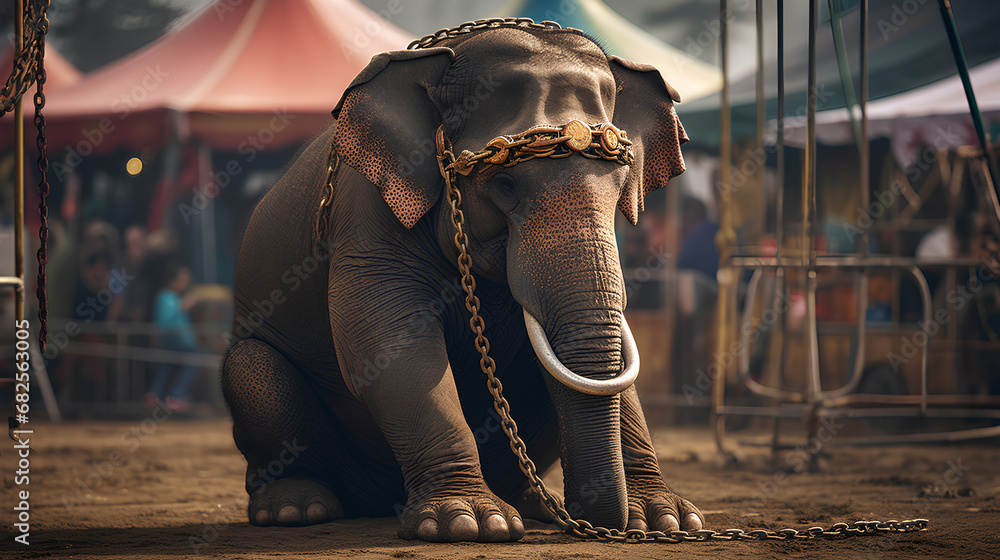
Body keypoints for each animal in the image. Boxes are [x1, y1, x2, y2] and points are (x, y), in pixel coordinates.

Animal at [221, 19, 703, 543]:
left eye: (620, 187)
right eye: (505, 185)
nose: (597, 526)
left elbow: (596, 364)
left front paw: (665, 519)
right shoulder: (364, 209)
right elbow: (388, 345)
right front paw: (470, 522)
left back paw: (535, 505)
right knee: (252, 370)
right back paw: (295, 508)